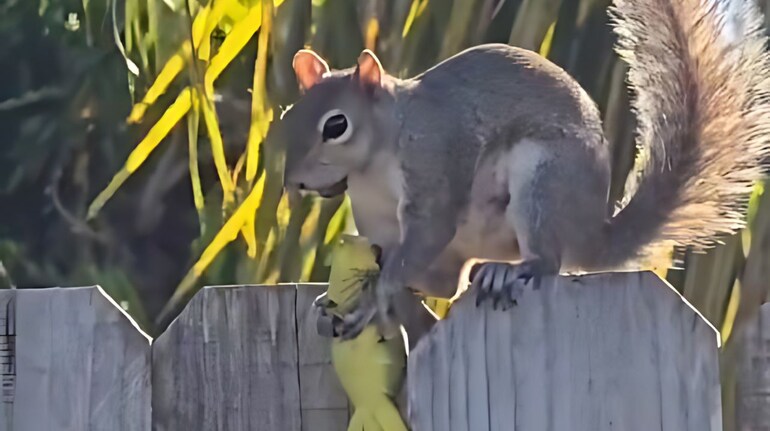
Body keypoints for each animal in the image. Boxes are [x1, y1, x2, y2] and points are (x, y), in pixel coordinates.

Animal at [275, 0, 770, 342]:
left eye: (336, 125)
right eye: (287, 117)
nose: (294, 181)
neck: (373, 167)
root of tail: (592, 235)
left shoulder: (435, 164)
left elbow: (426, 234)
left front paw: (374, 298)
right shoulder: (377, 220)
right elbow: (404, 262)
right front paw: (361, 288)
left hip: (542, 187)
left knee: (546, 262)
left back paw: (507, 272)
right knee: (449, 281)